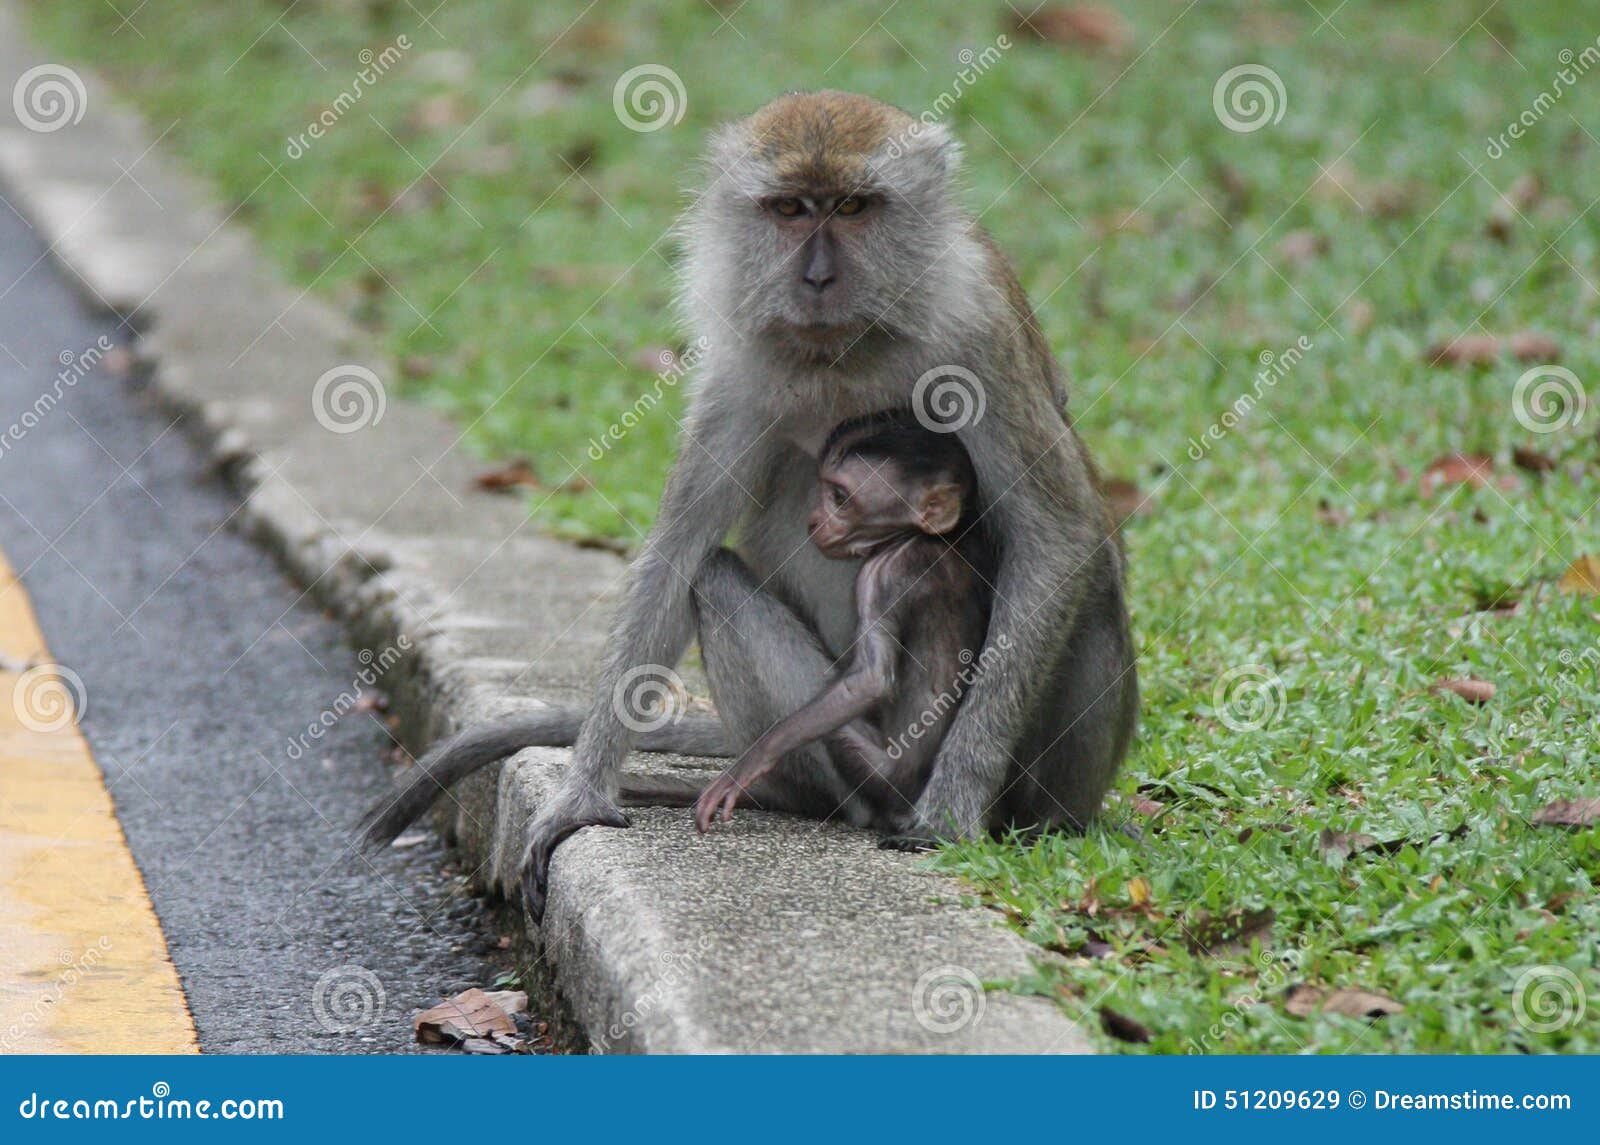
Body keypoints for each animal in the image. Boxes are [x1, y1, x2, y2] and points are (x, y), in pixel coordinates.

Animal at [693, 409, 991, 833]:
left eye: (839, 498)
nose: (815, 520)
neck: (921, 539)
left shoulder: (878, 577)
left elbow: (870, 680)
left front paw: (756, 757)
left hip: (878, 771)